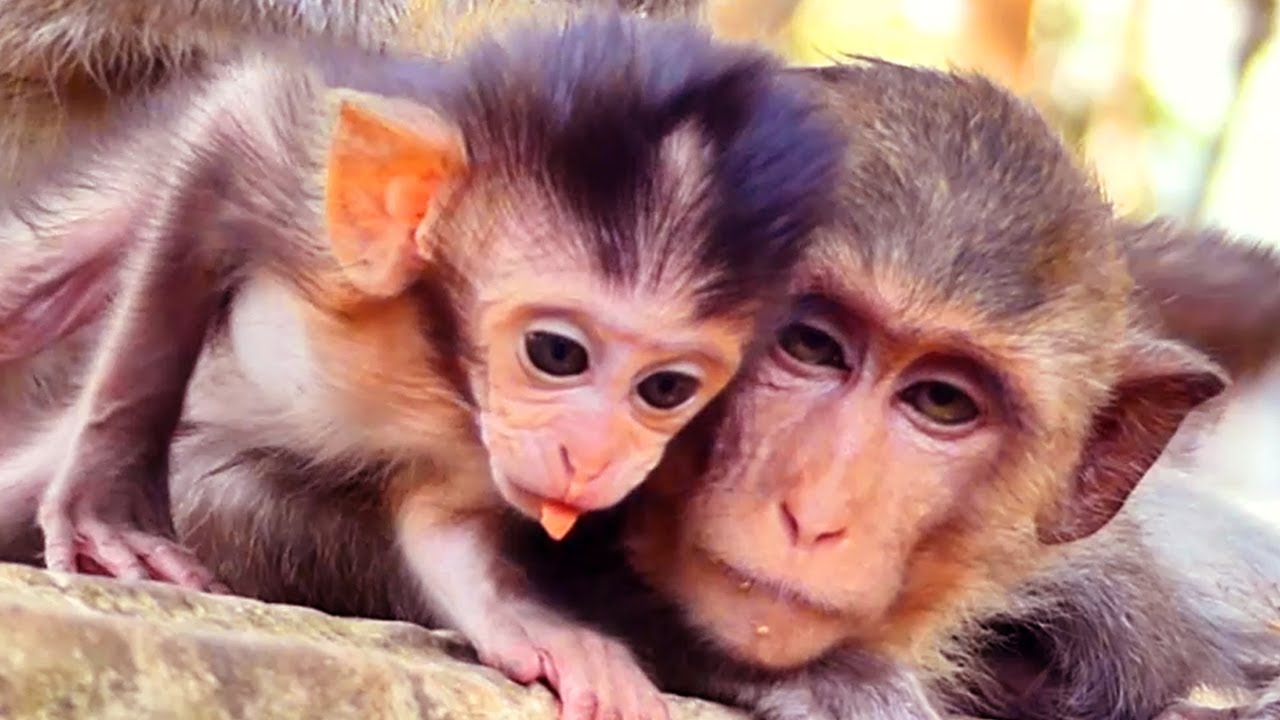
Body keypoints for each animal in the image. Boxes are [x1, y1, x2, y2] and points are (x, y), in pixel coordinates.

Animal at [0, 14, 842, 720]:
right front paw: (111, 495)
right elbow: (233, 125)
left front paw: (559, 641)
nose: (592, 458)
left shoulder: (478, 451)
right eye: (557, 353)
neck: (432, 356)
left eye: (666, 389)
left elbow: (444, 527)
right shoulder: (319, 234)